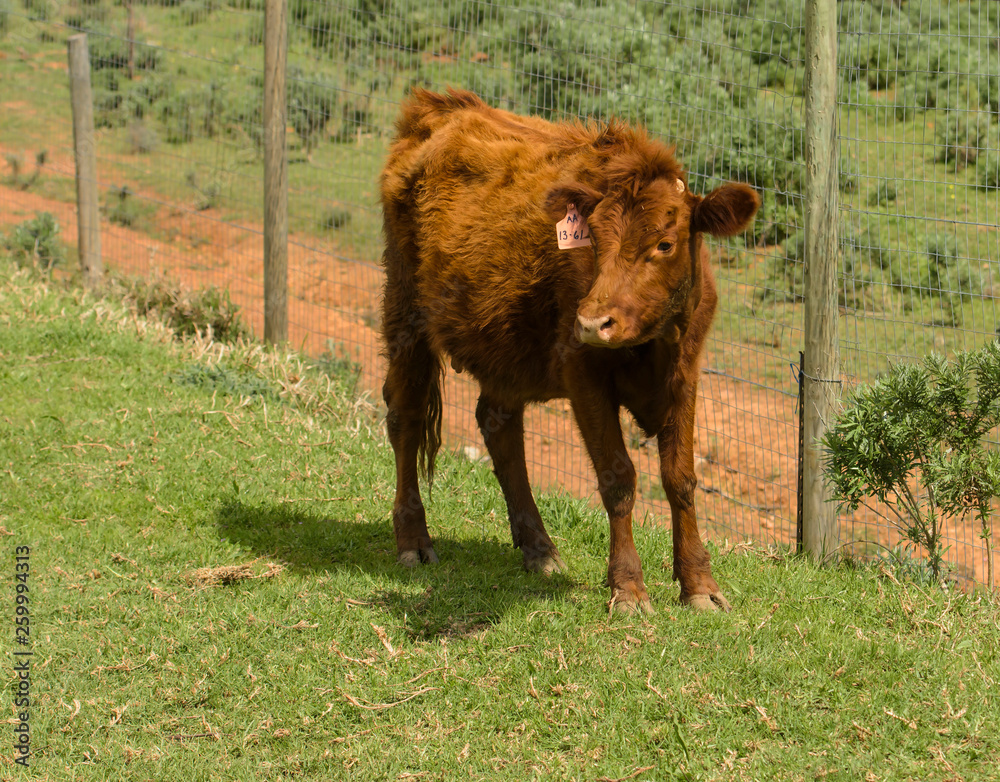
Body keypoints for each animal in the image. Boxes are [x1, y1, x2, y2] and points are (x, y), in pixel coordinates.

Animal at [380, 88, 759, 613]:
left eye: (665, 244)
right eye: (593, 239)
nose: (593, 322)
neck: (653, 347)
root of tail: (441, 105)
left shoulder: (686, 372)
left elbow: (680, 478)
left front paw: (699, 583)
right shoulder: (583, 374)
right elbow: (618, 478)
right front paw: (628, 587)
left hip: (504, 349)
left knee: (498, 426)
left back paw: (539, 548)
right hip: (405, 313)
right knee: (407, 417)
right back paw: (413, 540)